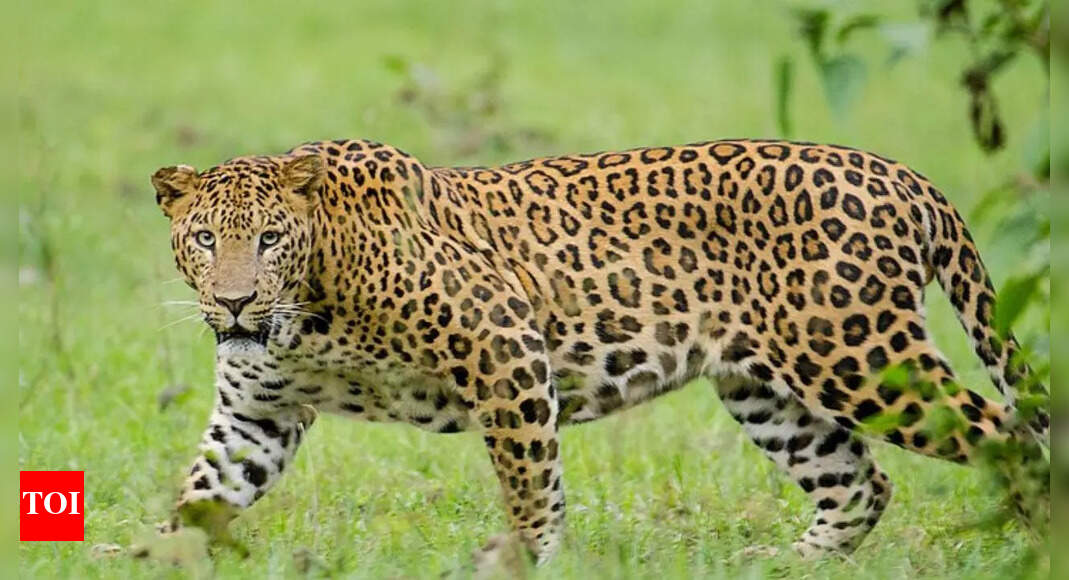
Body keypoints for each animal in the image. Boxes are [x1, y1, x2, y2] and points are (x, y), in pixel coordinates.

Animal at [150, 138, 1049, 569]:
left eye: (269, 240)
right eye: (205, 239)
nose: (235, 301)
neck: (307, 312)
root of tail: (899, 174)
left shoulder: (505, 346)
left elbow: (529, 481)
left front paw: (519, 560)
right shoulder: (257, 412)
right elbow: (202, 493)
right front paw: (152, 557)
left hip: (858, 356)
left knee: (1010, 438)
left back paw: (1036, 548)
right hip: (767, 388)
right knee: (859, 483)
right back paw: (783, 566)